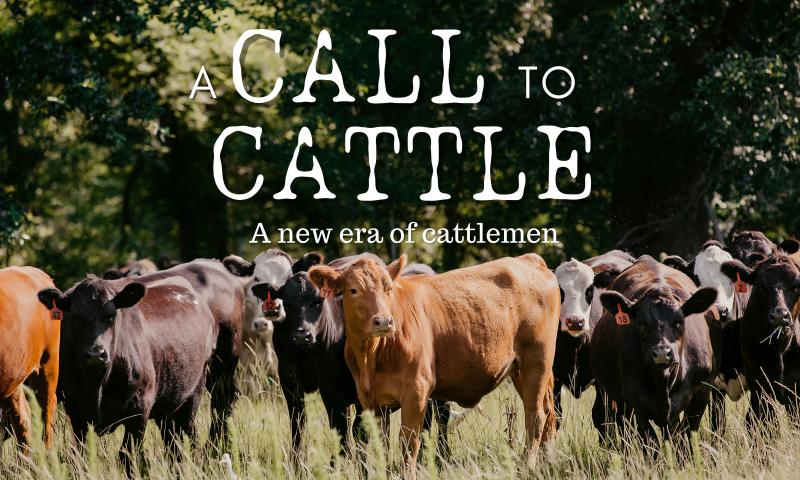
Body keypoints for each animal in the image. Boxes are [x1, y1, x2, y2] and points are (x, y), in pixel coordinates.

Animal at [38, 260, 244, 471]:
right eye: (76, 318)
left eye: (111, 316)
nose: (96, 353)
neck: (98, 383)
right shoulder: (77, 411)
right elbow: (80, 456)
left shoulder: (138, 409)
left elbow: (128, 456)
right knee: (175, 439)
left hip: (216, 370)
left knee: (216, 410)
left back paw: (216, 451)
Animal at [251, 254, 451, 461]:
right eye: (287, 303)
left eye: (318, 301)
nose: (302, 335)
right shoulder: (308, 388)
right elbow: (310, 427)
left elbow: (358, 432)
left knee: (441, 416)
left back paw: (442, 456)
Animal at [308, 253, 560, 472]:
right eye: (353, 290)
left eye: (388, 289)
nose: (384, 321)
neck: (372, 356)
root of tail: (528, 259)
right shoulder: (371, 402)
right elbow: (381, 446)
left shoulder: (416, 393)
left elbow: (409, 444)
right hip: (521, 369)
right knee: (548, 413)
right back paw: (546, 462)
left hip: (536, 362)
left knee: (535, 416)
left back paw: (528, 466)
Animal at [590, 256, 721, 443]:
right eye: (640, 323)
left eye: (679, 321)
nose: (661, 353)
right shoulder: (635, 400)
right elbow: (649, 440)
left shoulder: (701, 393)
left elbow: (686, 437)